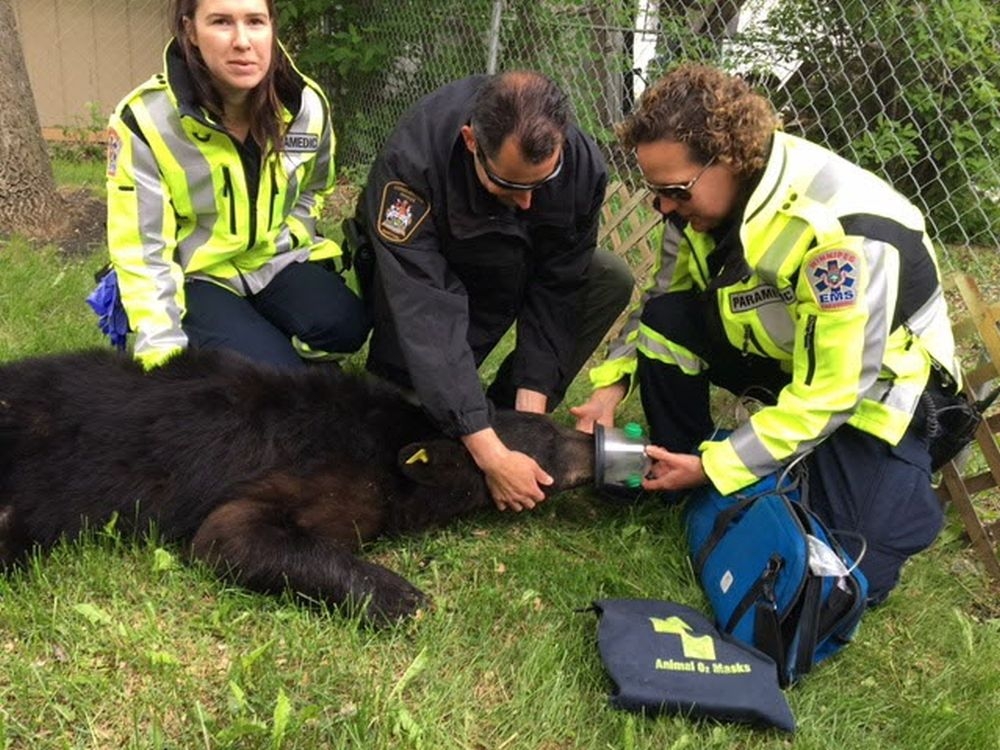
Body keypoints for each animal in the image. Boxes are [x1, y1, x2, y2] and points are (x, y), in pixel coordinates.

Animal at [0, 348, 594, 622]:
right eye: (547, 442)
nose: (593, 441)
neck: (392, 443)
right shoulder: (322, 472)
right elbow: (229, 533)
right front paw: (400, 596)